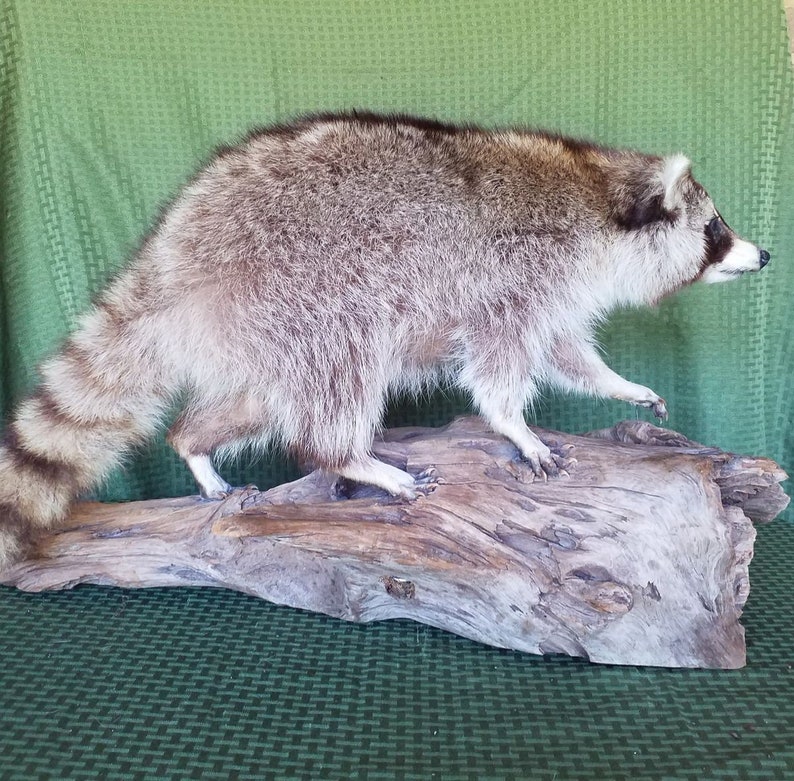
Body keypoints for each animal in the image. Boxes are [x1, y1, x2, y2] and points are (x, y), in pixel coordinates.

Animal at [0, 112, 769, 569]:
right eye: (715, 228)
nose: (761, 255)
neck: (596, 193)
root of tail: (176, 243)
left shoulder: (549, 293)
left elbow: (564, 354)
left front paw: (618, 384)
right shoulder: (518, 277)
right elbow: (498, 366)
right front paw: (514, 427)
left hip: (261, 326)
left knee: (255, 401)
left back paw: (195, 444)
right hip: (300, 290)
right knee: (340, 372)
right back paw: (353, 457)